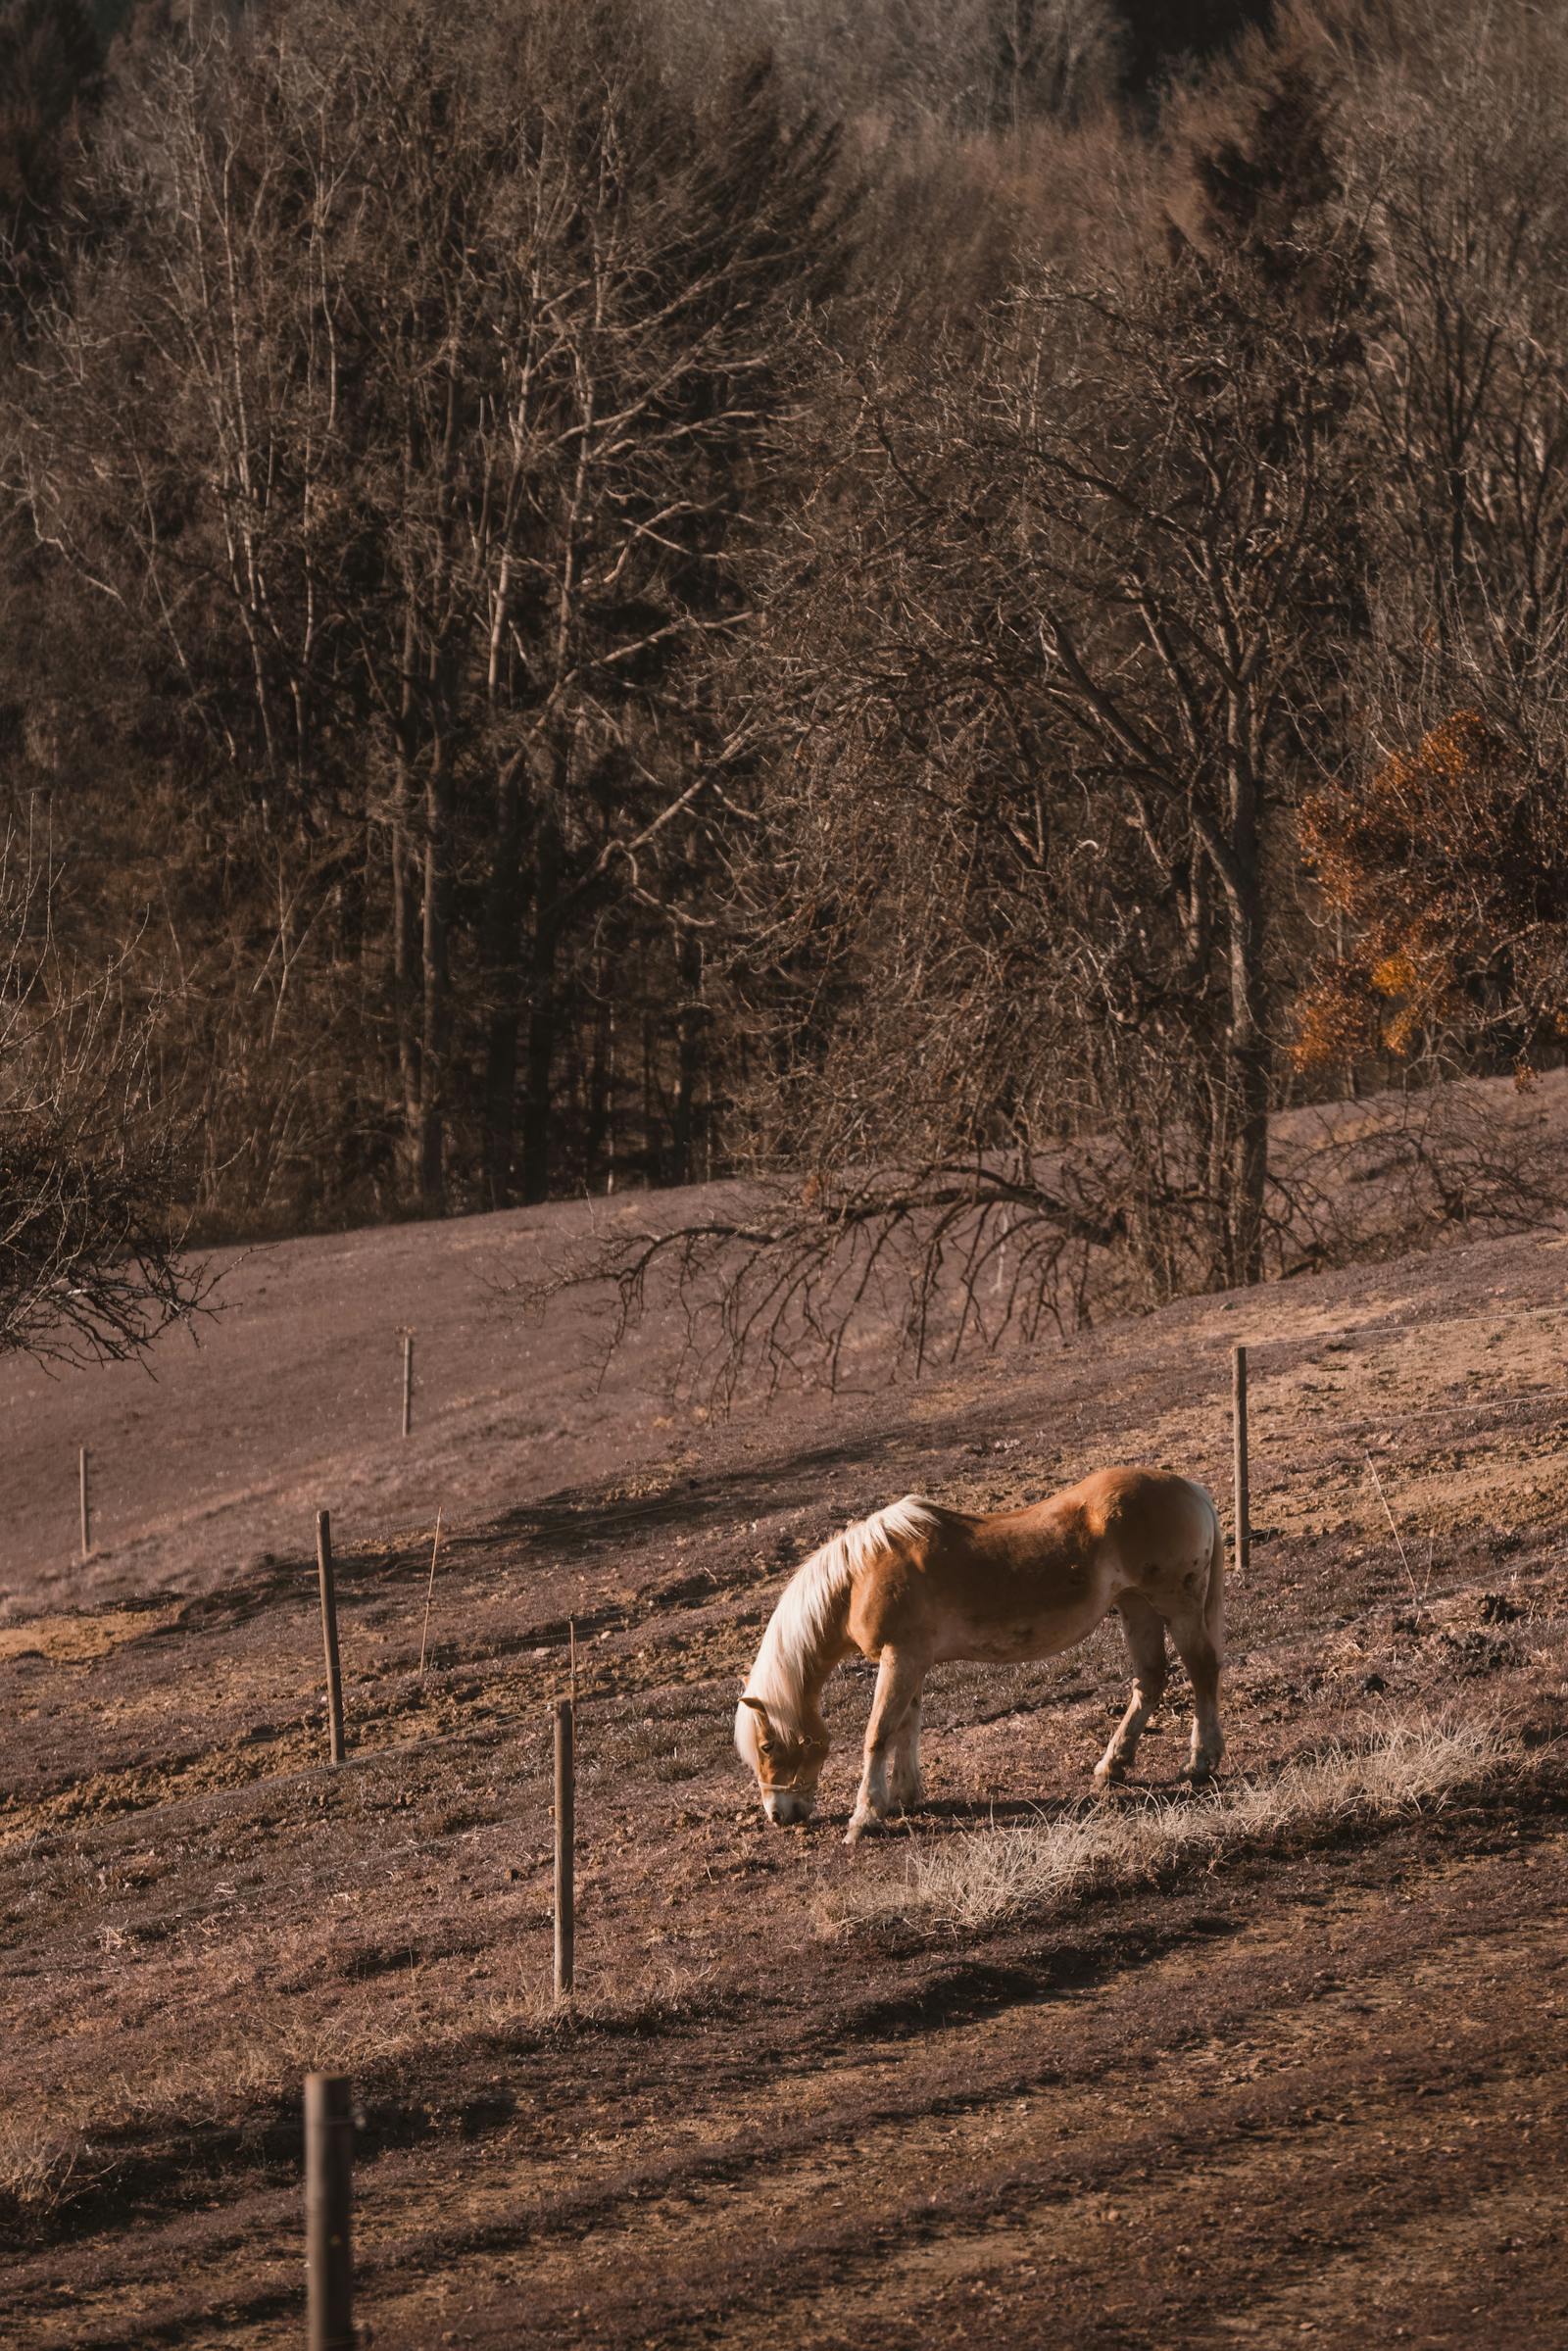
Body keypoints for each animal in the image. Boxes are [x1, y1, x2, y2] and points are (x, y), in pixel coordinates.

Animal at [735, 1466, 1224, 1843]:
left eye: (767, 1744)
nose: (779, 1814)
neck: (860, 1577)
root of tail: (1193, 1490)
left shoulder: (900, 1658)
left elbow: (878, 1732)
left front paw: (866, 1817)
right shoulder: (911, 1661)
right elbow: (906, 1725)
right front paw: (905, 1797)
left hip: (1175, 1604)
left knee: (1202, 1669)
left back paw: (1201, 1761)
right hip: (1137, 1605)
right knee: (1150, 1680)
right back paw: (1112, 1767)